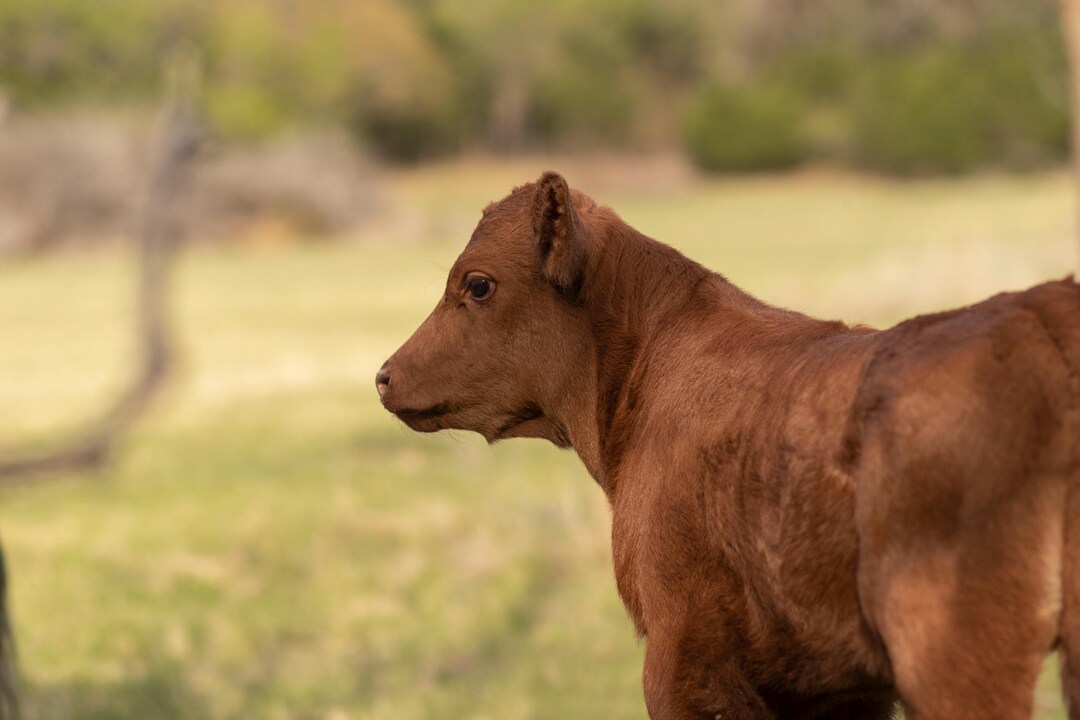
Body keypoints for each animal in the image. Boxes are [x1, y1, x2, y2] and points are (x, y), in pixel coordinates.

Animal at [376, 171, 1080, 719]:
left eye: (478, 284)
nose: (384, 375)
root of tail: (1037, 313)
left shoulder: (683, 655)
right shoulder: (836, 688)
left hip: (955, 656)